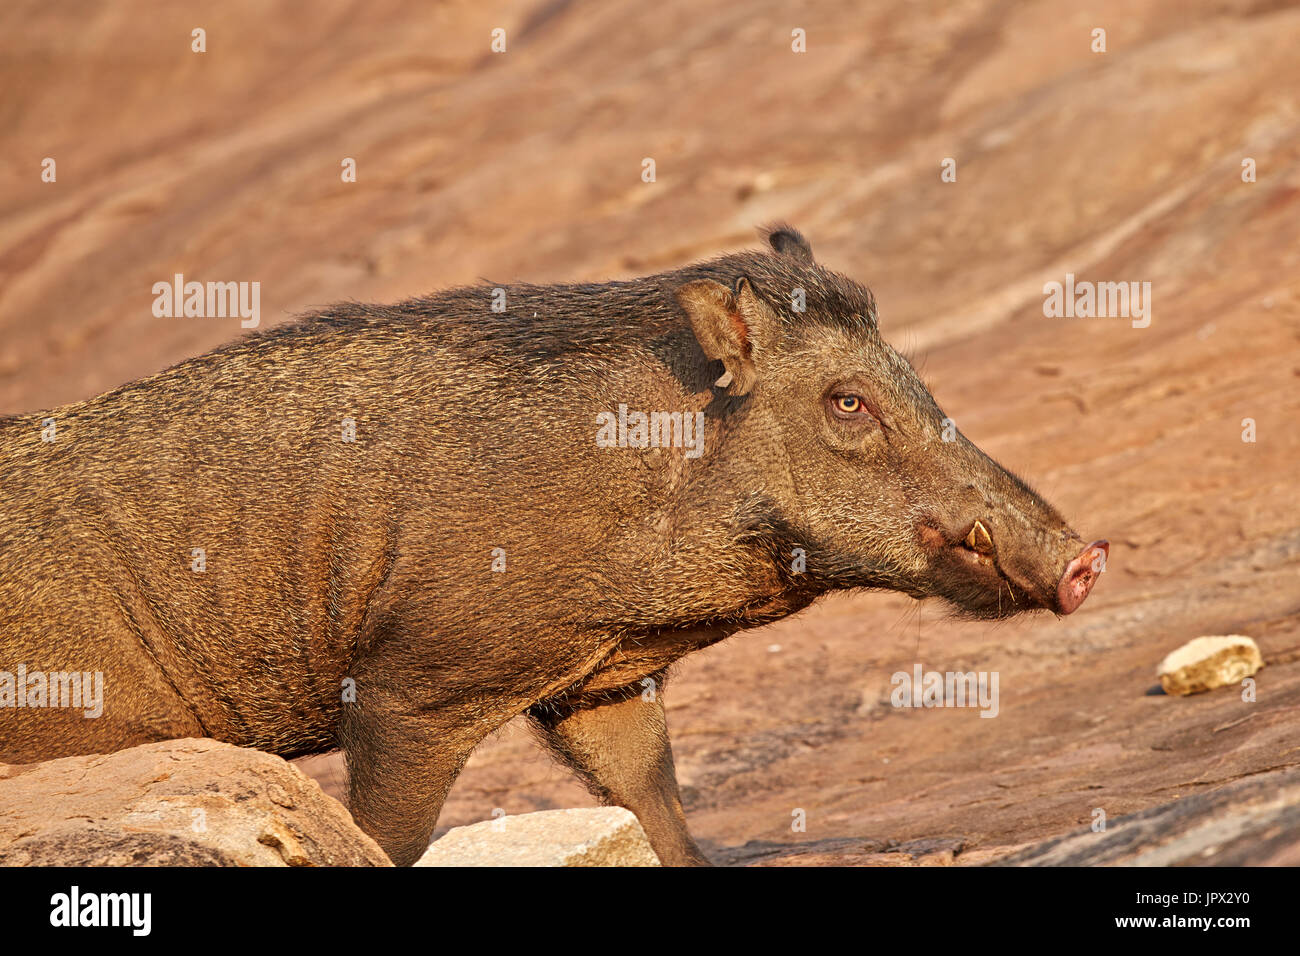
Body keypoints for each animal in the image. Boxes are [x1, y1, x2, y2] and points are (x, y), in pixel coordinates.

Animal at [0, 225, 1107, 865]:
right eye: (847, 400)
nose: (1084, 558)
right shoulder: (410, 687)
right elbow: (384, 836)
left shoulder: (597, 685)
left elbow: (656, 807)